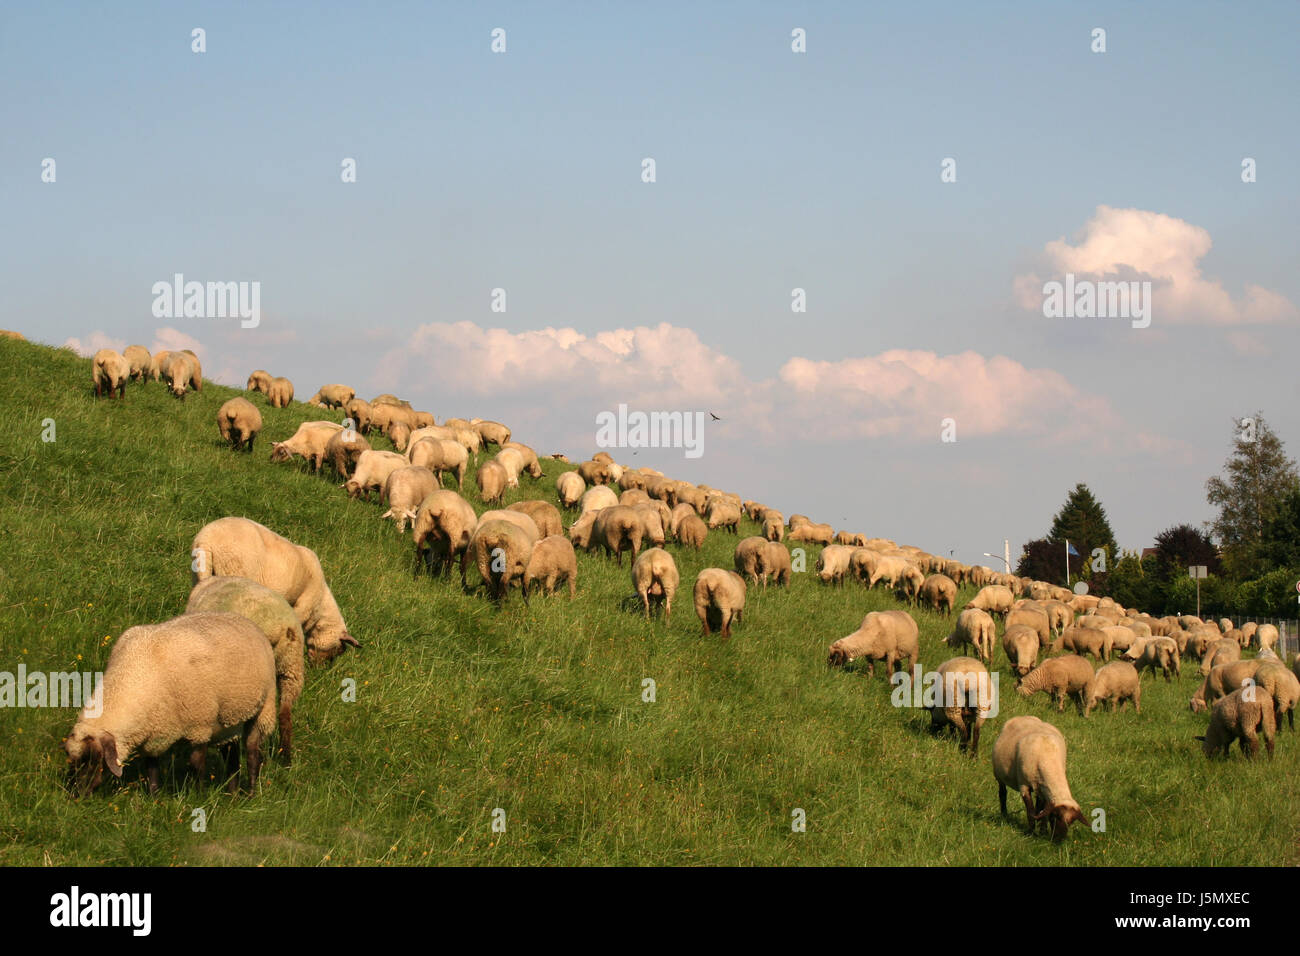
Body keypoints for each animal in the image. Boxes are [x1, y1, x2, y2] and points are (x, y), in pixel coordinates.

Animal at [63, 612, 278, 795]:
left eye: (93, 759)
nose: (78, 794)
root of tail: (243, 619)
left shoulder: (199, 725)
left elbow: (196, 763)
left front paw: (198, 796)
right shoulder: (154, 731)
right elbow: (151, 768)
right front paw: (154, 798)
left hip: (262, 709)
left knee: (252, 753)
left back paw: (250, 793)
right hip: (229, 719)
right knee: (231, 754)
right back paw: (232, 794)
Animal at [191, 517, 360, 661]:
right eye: (338, 650)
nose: (318, 668)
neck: (320, 606)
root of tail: (206, 540)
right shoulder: (303, 606)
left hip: (200, 574)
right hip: (232, 570)